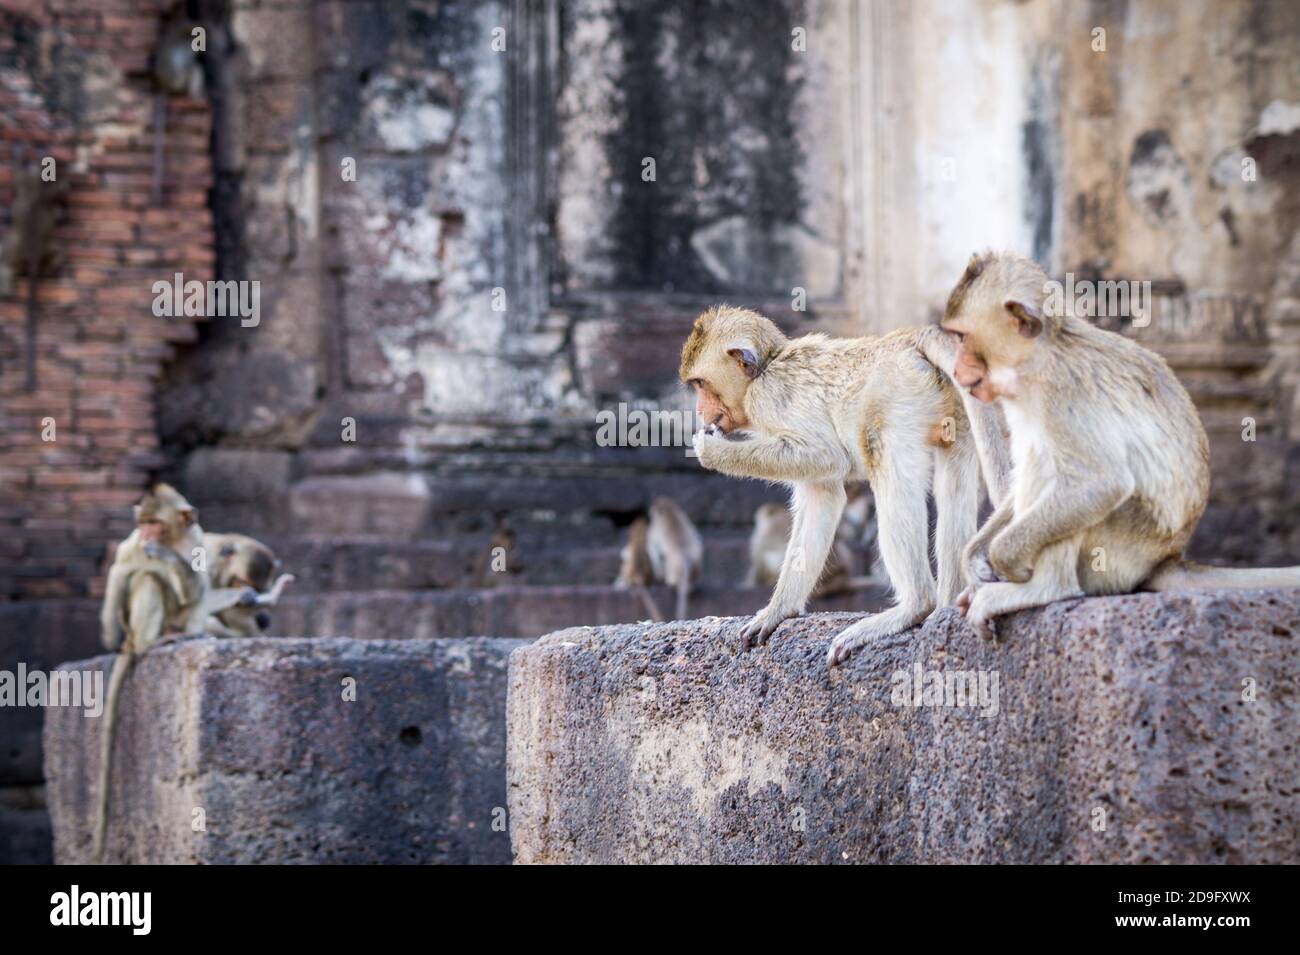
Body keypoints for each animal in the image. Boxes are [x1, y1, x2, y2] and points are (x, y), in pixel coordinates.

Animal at [681, 305, 1011, 665]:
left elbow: (826, 455)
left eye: (700, 384)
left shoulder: (770, 399)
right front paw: (778, 611)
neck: (768, 366)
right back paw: (946, 607)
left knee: (881, 454)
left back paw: (914, 607)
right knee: (953, 481)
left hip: (896, 392)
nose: (699, 410)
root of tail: (910, 338)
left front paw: (710, 450)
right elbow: (822, 494)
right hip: (954, 405)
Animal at [928, 251, 1300, 640]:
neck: (1039, 358)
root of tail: (1167, 558)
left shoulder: (1063, 390)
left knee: (1069, 481)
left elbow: (1100, 483)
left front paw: (1003, 560)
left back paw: (1042, 589)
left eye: (962, 337)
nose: (958, 368)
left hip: (1126, 546)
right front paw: (975, 556)